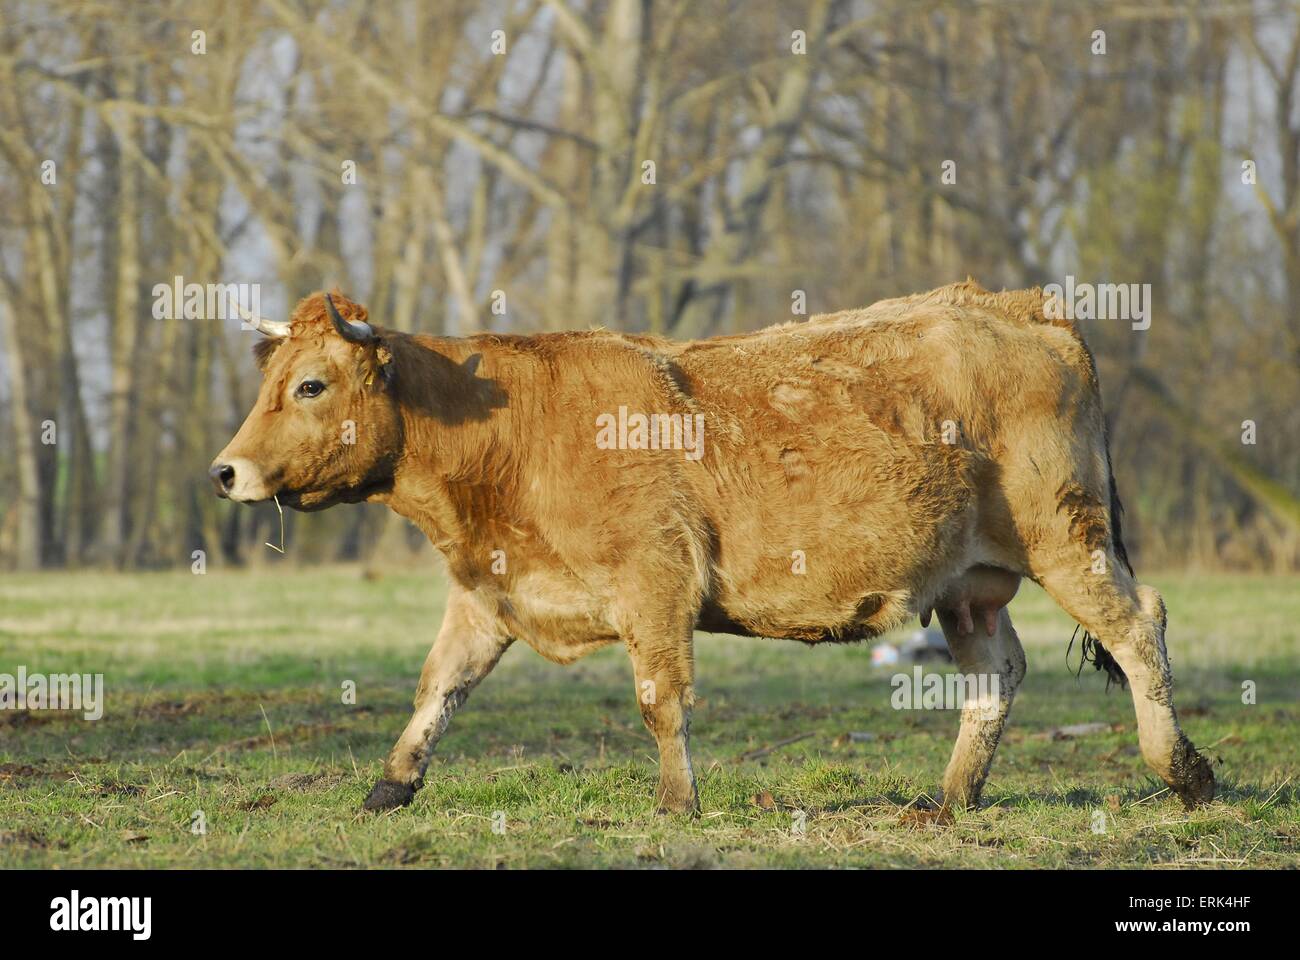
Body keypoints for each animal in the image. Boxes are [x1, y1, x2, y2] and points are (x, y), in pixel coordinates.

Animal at [210, 281, 1215, 815]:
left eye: (310, 385)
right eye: (271, 381)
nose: (226, 472)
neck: (511, 435)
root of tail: (1019, 305)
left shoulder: (652, 584)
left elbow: (661, 702)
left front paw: (676, 804)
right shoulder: (488, 592)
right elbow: (438, 688)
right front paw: (391, 787)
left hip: (1067, 539)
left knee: (1140, 630)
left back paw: (1184, 771)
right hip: (970, 582)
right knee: (996, 674)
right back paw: (952, 797)